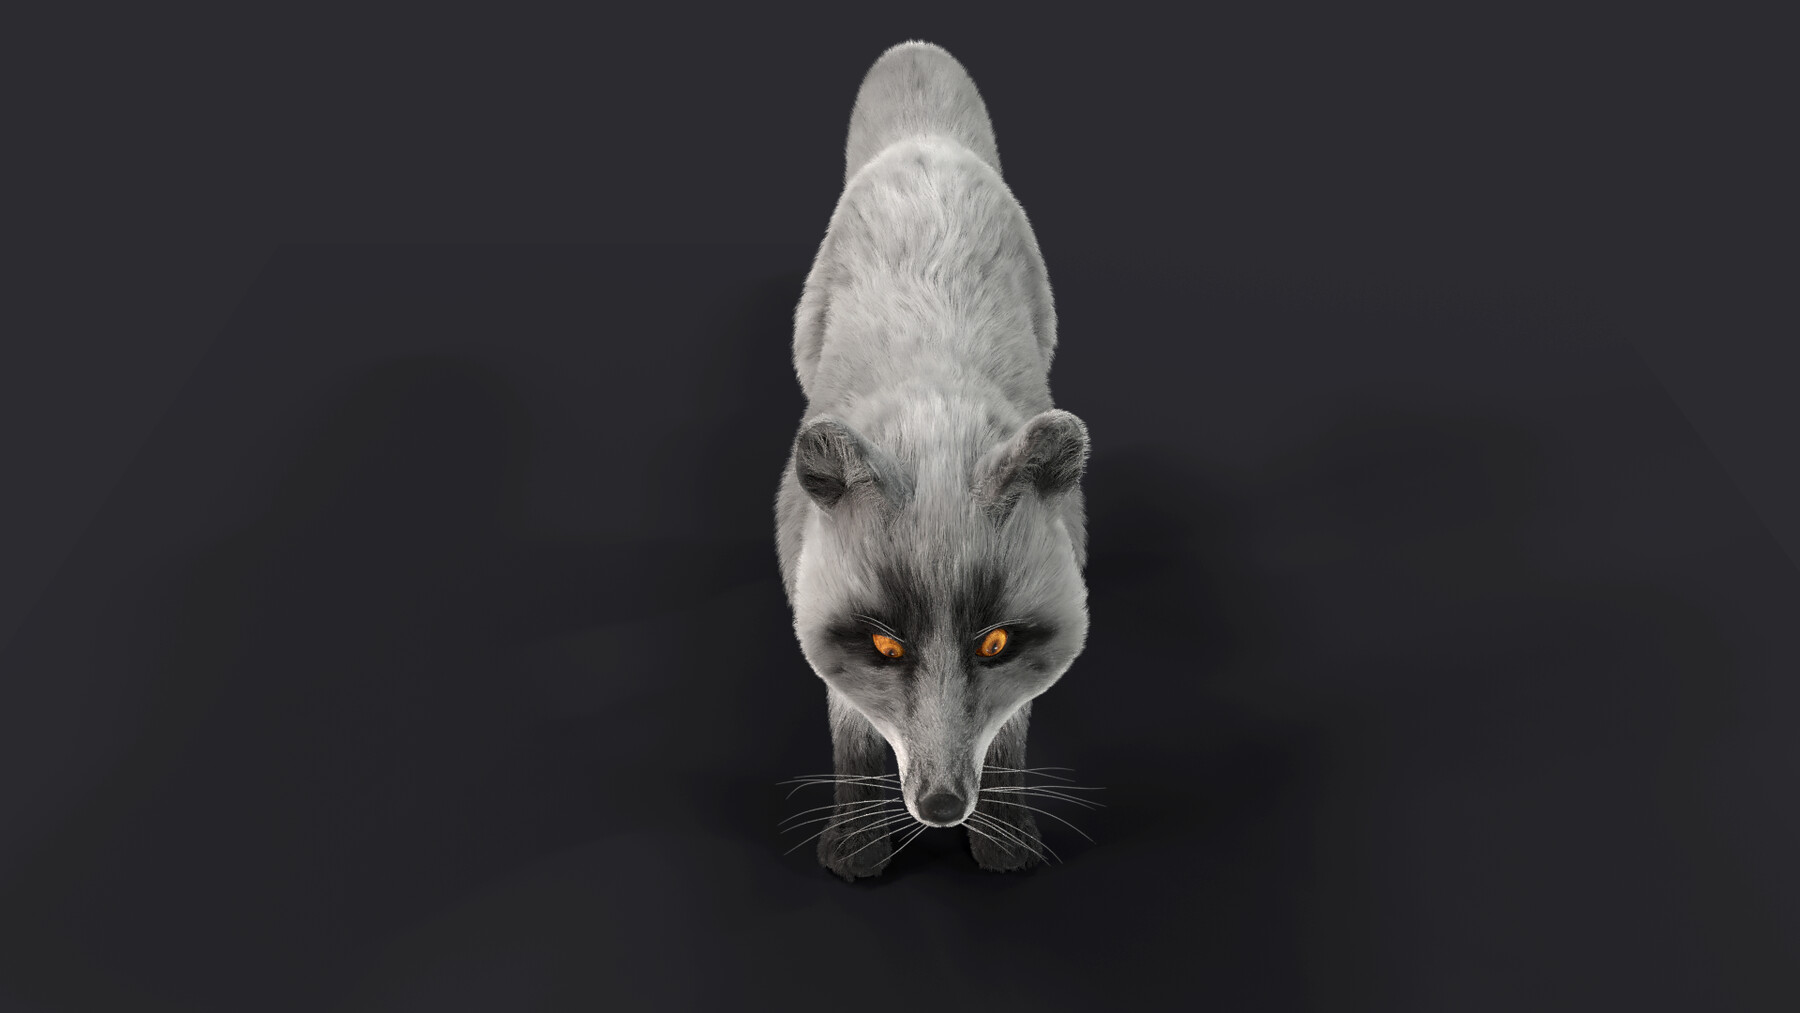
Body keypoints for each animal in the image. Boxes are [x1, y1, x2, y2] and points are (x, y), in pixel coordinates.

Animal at [776, 40, 1092, 880]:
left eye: (997, 643)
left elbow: (1010, 727)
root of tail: (927, 140)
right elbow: (853, 726)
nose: (944, 808)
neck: (935, 422)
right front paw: (857, 842)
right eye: (885, 645)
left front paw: (1005, 837)